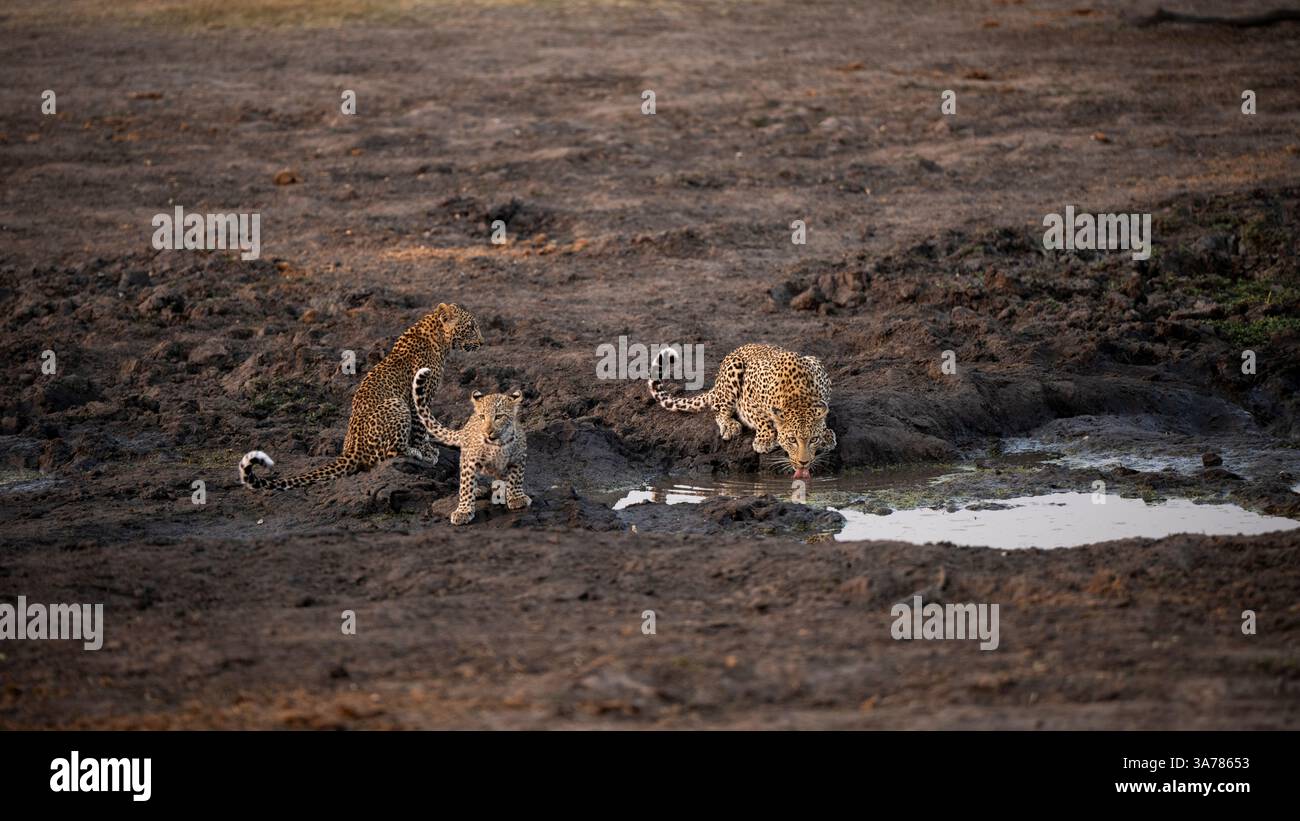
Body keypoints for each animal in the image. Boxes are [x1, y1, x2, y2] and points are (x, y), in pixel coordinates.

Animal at [239, 302, 483, 491]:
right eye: (471, 328)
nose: (482, 343)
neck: (439, 339)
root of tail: (351, 450)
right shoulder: (419, 396)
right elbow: (420, 427)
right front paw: (426, 450)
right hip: (396, 404)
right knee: (387, 453)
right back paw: (412, 452)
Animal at [412, 366, 530, 525]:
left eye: (499, 417)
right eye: (482, 417)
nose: (487, 432)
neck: (497, 443)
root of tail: (465, 427)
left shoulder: (519, 457)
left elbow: (516, 478)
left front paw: (517, 498)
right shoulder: (470, 461)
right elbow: (466, 487)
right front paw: (463, 511)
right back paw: (478, 489)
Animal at [647, 343, 835, 479]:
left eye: (813, 439)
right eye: (792, 440)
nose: (804, 463)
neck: (799, 399)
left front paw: (827, 435)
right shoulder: (750, 400)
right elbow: (762, 420)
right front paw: (764, 440)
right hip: (733, 369)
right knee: (719, 410)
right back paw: (730, 426)